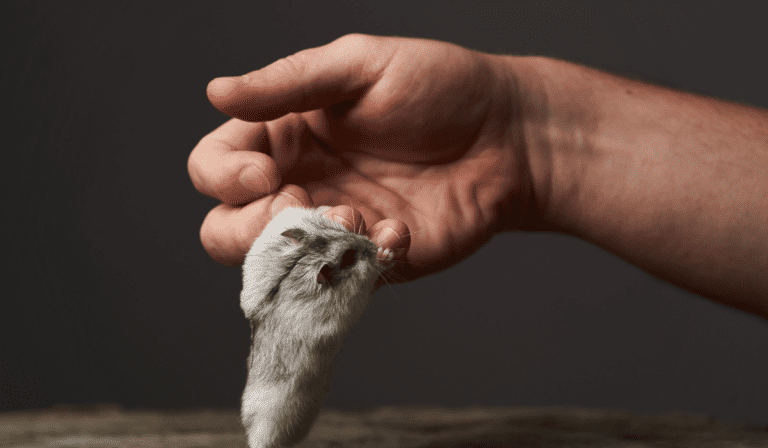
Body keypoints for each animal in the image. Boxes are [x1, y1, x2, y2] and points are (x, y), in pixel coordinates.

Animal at [239, 206, 393, 448]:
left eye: (336, 231)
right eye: (348, 258)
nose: (373, 246)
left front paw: (386, 251)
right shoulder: (354, 300)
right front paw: (386, 255)